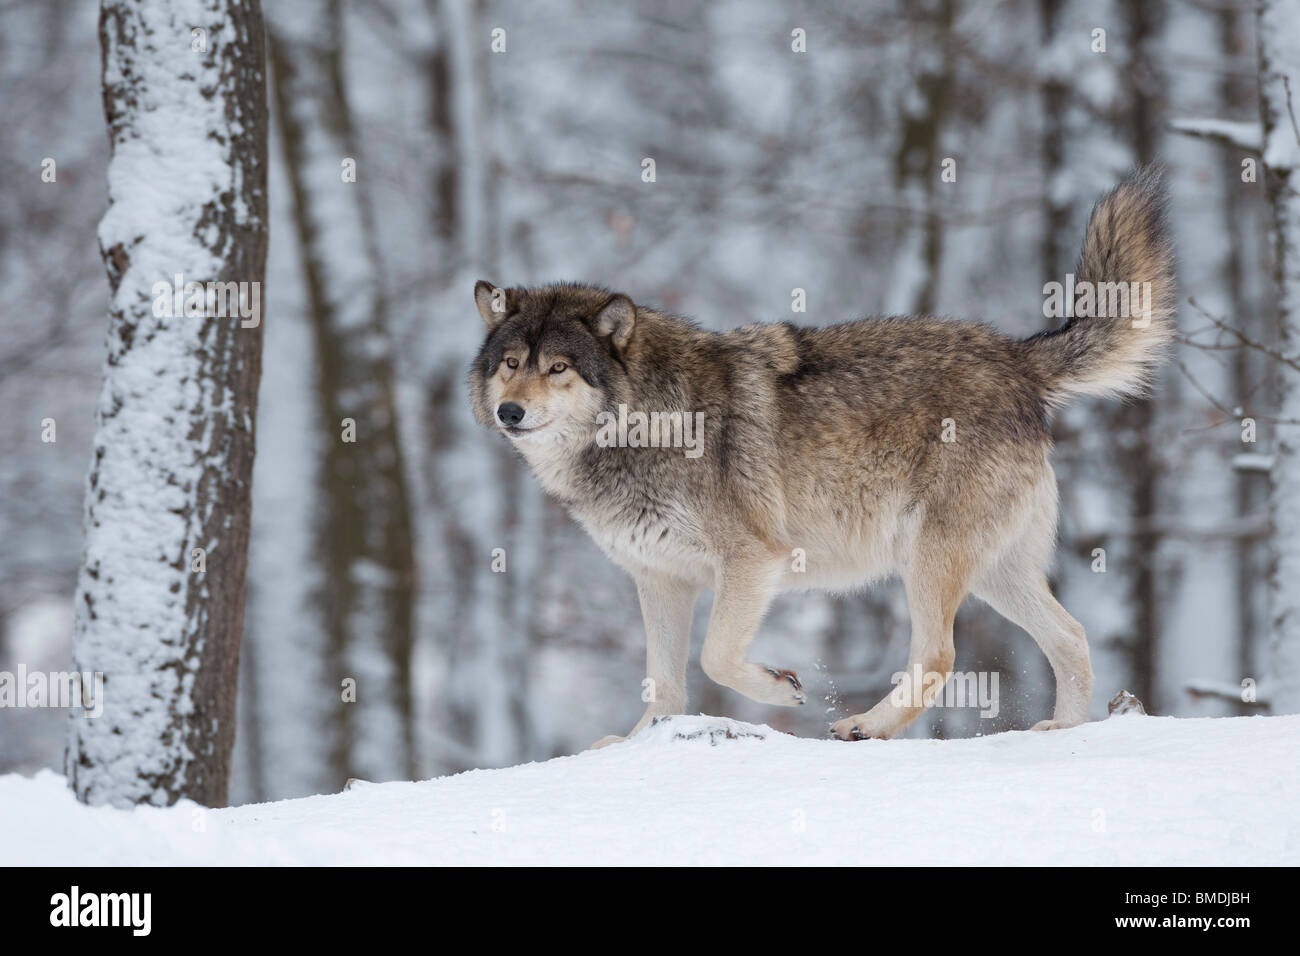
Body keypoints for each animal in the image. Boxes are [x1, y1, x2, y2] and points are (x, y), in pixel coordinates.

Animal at [468, 168, 1174, 747]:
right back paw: (1064, 731)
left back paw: (867, 725)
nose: (510, 413)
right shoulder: (660, 579)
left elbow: (714, 657)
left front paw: (781, 689)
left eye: (558, 368)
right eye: (511, 364)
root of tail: (1015, 357)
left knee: (941, 655)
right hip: (996, 572)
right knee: (1070, 637)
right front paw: (639, 742)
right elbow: (664, 682)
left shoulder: (752, 561)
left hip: (929, 558)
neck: (642, 424)